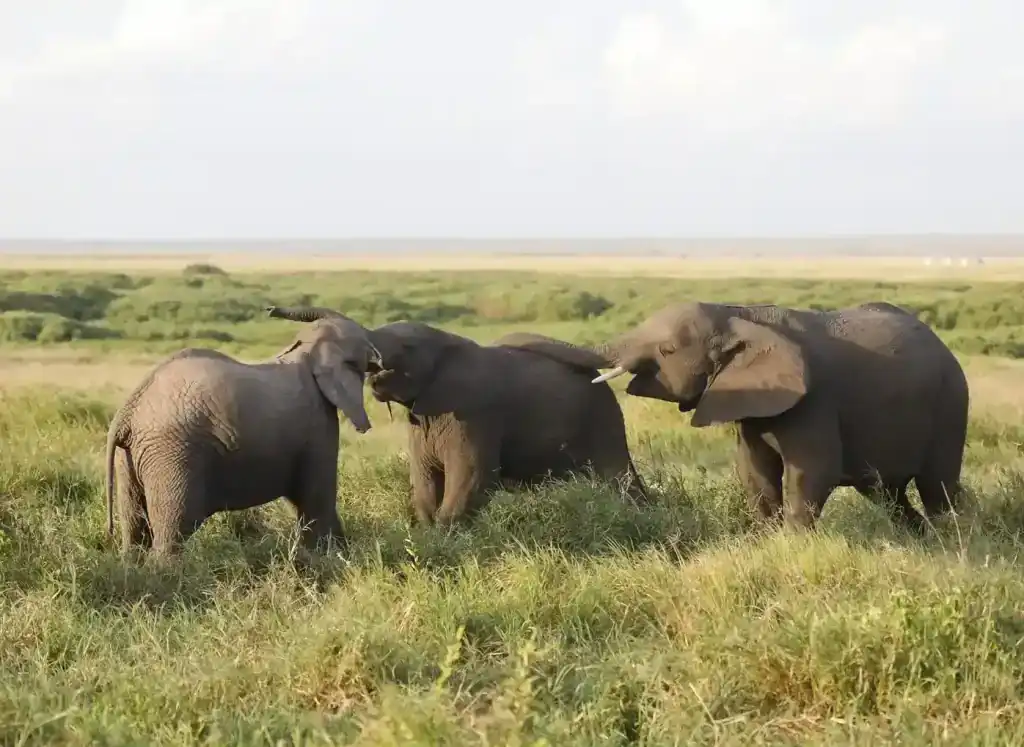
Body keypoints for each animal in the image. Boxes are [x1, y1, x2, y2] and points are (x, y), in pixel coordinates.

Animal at [103, 313, 381, 556]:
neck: (306, 350)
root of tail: (128, 410)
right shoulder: (318, 423)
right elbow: (316, 499)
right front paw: (329, 559)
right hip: (172, 455)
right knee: (173, 531)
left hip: (131, 457)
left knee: (134, 529)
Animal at [265, 306, 649, 525]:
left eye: (407, 347)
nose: (271, 309)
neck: (445, 343)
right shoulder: (423, 417)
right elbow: (423, 478)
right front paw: (425, 532)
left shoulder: (474, 411)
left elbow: (472, 477)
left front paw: (444, 536)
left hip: (602, 417)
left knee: (617, 473)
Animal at [590, 300, 969, 534]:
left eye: (667, 350)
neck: (738, 315)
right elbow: (755, 473)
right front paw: (766, 542)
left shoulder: (815, 400)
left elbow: (812, 473)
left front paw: (793, 546)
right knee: (887, 494)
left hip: (951, 402)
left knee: (936, 488)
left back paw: (951, 540)